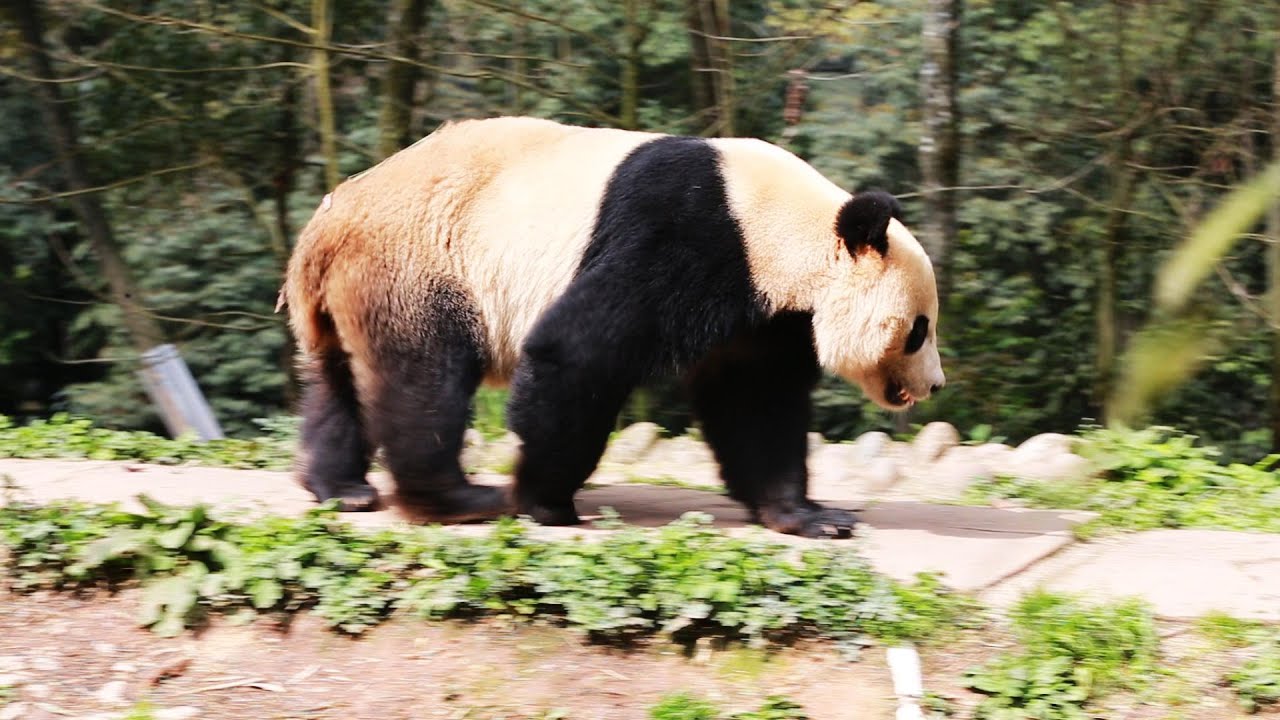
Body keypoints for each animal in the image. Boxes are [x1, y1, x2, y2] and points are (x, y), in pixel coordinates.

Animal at [282, 116, 944, 539]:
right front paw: (544, 500)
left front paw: (807, 514)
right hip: (419, 263)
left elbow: (756, 400)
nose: (935, 385)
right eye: (919, 329)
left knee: (340, 382)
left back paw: (340, 485)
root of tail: (324, 227)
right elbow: (577, 352)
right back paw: (457, 497)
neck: (785, 228)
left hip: (355, 288)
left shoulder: (766, 311)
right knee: (423, 380)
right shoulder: (690, 234)